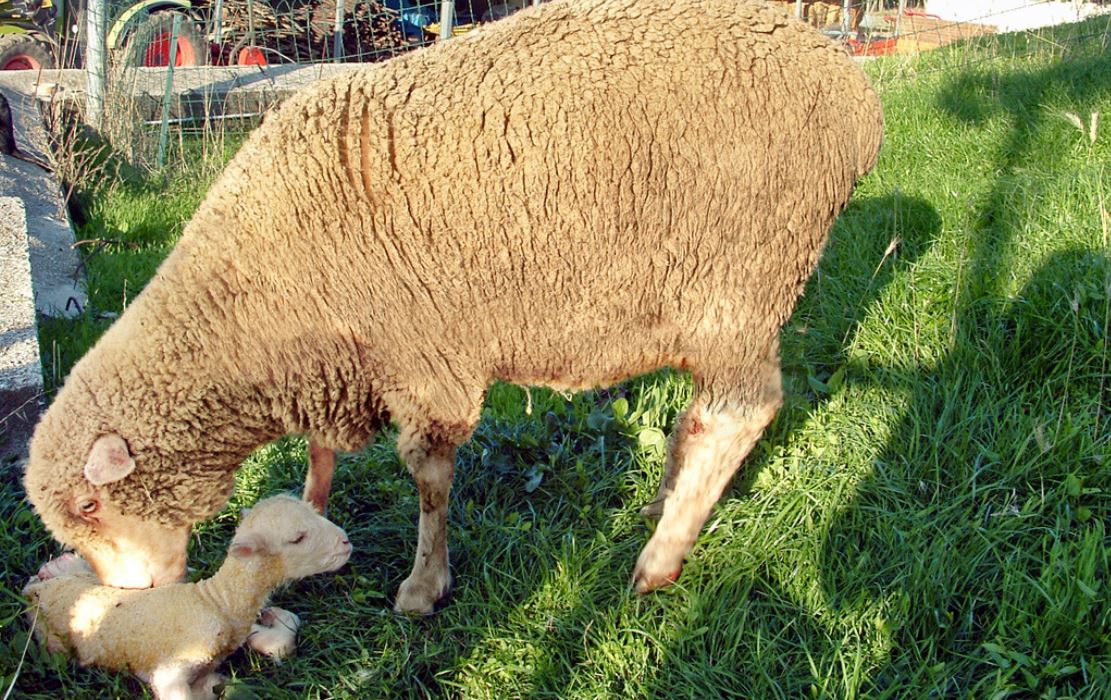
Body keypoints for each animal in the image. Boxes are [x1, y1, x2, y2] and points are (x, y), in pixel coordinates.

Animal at [23, 0, 884, 614]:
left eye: (90, 505)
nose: (126, 603)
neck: (254, 303)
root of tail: (848, 83)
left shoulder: (422, 362)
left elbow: (427, 479)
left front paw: (421, 586)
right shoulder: (343, 354)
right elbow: (319, 456)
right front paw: (308, 521)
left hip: (742, 282)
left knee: (741, 413)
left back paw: (660, 559)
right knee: (701, 418)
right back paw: (661, 506)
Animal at [23, 495, 352, 700]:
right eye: (297, 538)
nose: (346, 542)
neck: (216, 601)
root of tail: (32, 591)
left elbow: (286, 634)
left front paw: (264, 627)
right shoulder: (172, 670)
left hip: (82, 575)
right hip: (52, 642)